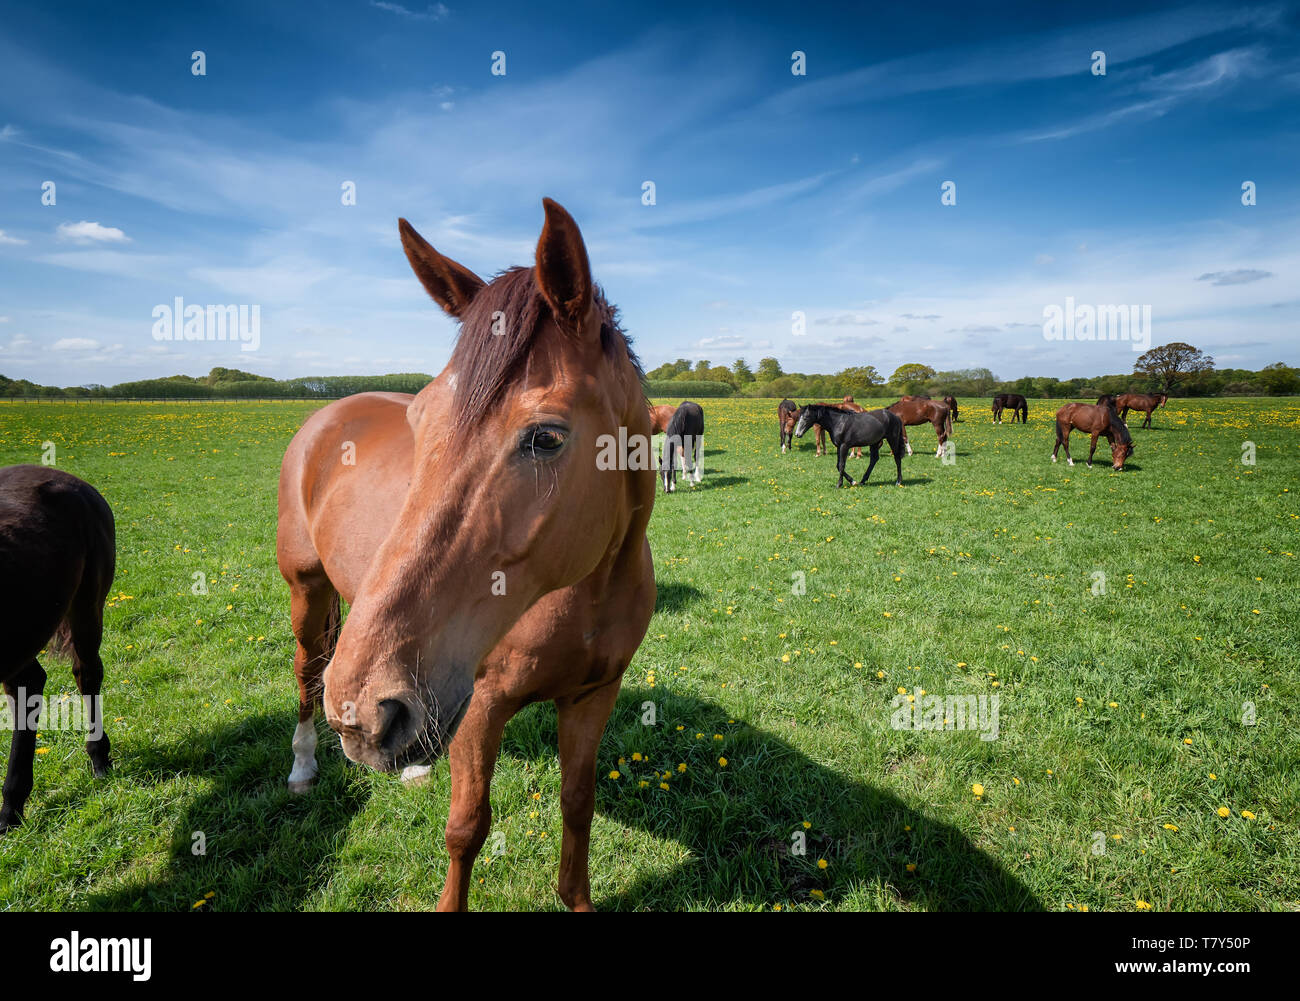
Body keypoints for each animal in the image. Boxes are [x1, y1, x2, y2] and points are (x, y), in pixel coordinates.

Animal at [276, 199, 656, 911]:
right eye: (420, 420)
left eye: (544, 437)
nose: (363, 709)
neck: (584, 591)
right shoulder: (480, 709)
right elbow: (467, 828)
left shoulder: (594, 694)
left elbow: (578, 803)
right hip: (308, 594)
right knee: (307, 670)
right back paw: (305, 764)